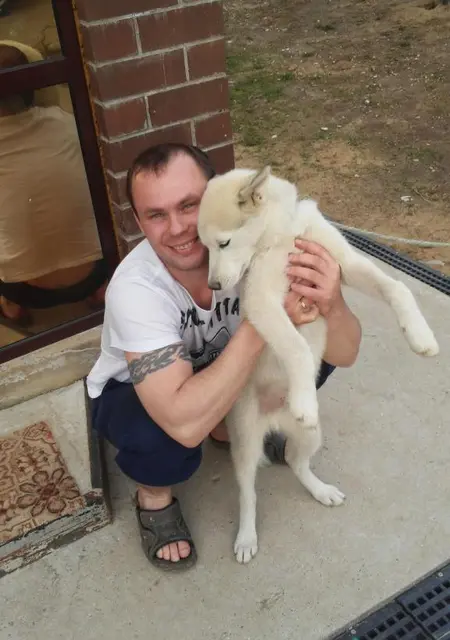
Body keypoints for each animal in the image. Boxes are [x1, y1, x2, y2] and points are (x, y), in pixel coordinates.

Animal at [197, 165, 439, 564]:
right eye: (204, 247)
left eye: (224, 244)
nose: (214, 284)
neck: (283, 235)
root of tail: (275, 420)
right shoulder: (262, 302)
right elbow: (296, 347)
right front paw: (304, 399)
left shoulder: (344, 266)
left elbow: (398, 288)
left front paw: (421, 336)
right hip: (245, 442)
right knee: (248, 494)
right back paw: (246, 537)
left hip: (312, 436)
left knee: (297, 461)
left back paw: (320, 489)